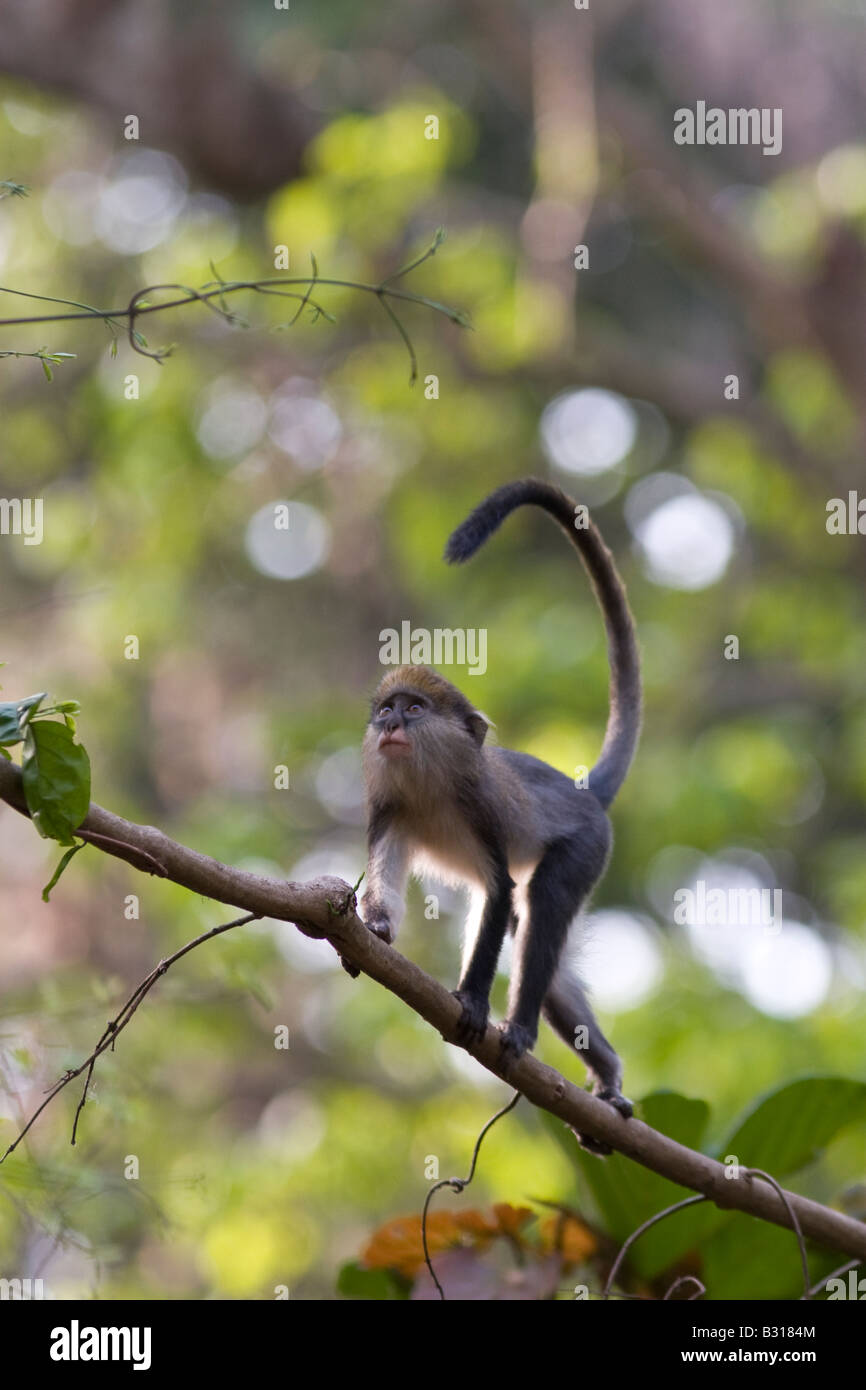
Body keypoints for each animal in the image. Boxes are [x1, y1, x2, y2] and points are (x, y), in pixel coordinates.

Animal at [360, 478, 641, 1147]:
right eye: (386, 709)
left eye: (413, 708)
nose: (390, 724)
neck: (430, 787)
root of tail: (583, 792)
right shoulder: (389, 808)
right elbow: (387, 875)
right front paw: (374, 927)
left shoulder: (480, 809)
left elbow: (499, 890)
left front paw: (472, 1001)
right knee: (548, 963)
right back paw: (608, 1075)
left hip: (586, 846)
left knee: (539, 909)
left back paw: (522, 1030)